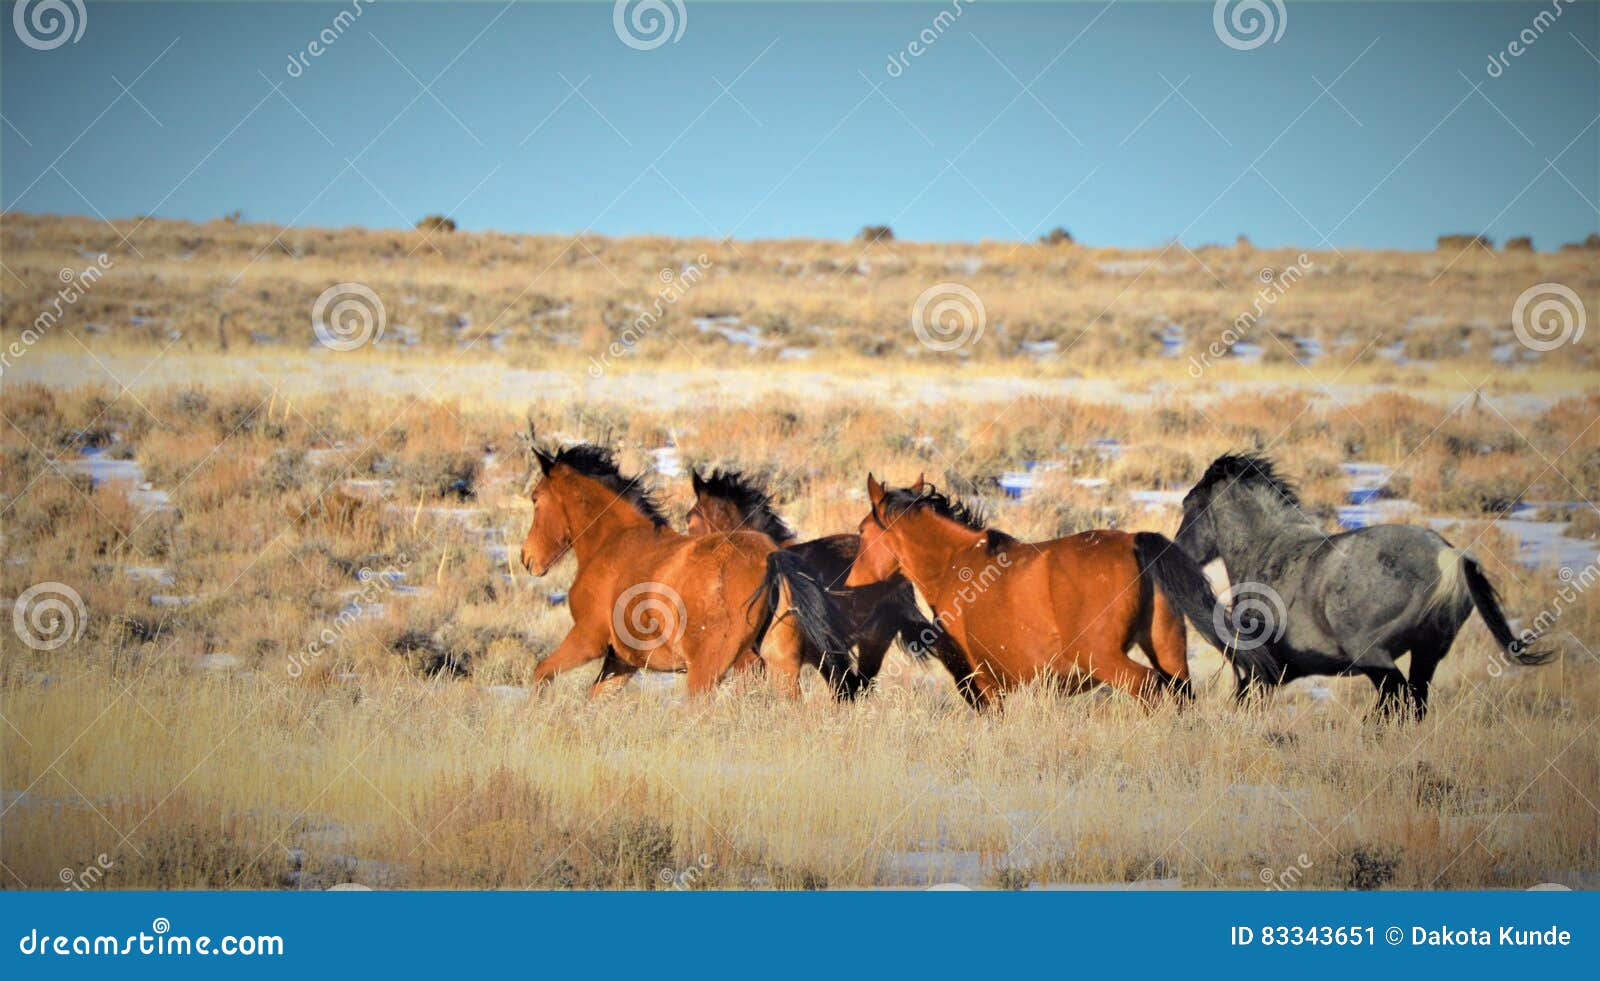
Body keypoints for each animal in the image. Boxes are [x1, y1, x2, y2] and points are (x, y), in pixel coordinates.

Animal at [519, 443, 852, 698]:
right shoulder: (622, 661)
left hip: (710, 669)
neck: (613, 541)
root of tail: (771, 557)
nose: (527, 558)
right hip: (779, 662)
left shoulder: (587, 639)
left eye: (535, 498)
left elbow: (541, 672)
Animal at [844, 474, 1229, 709]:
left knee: (1147, 687)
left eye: (862, 531)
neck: (955, 563)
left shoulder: (982, 683)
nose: (851, 586)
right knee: (1181, 693)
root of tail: (1134, 543)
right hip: (1168, 650)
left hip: (1104, 657)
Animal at [1174, 453, 1555, 718]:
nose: (1177, 549)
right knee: (1414, 703)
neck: (1269, 549)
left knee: (1395, 701)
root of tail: (1447, 557)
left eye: (1190, 505)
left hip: (1374, 655)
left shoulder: (1258, 667)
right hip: (1428, 652)